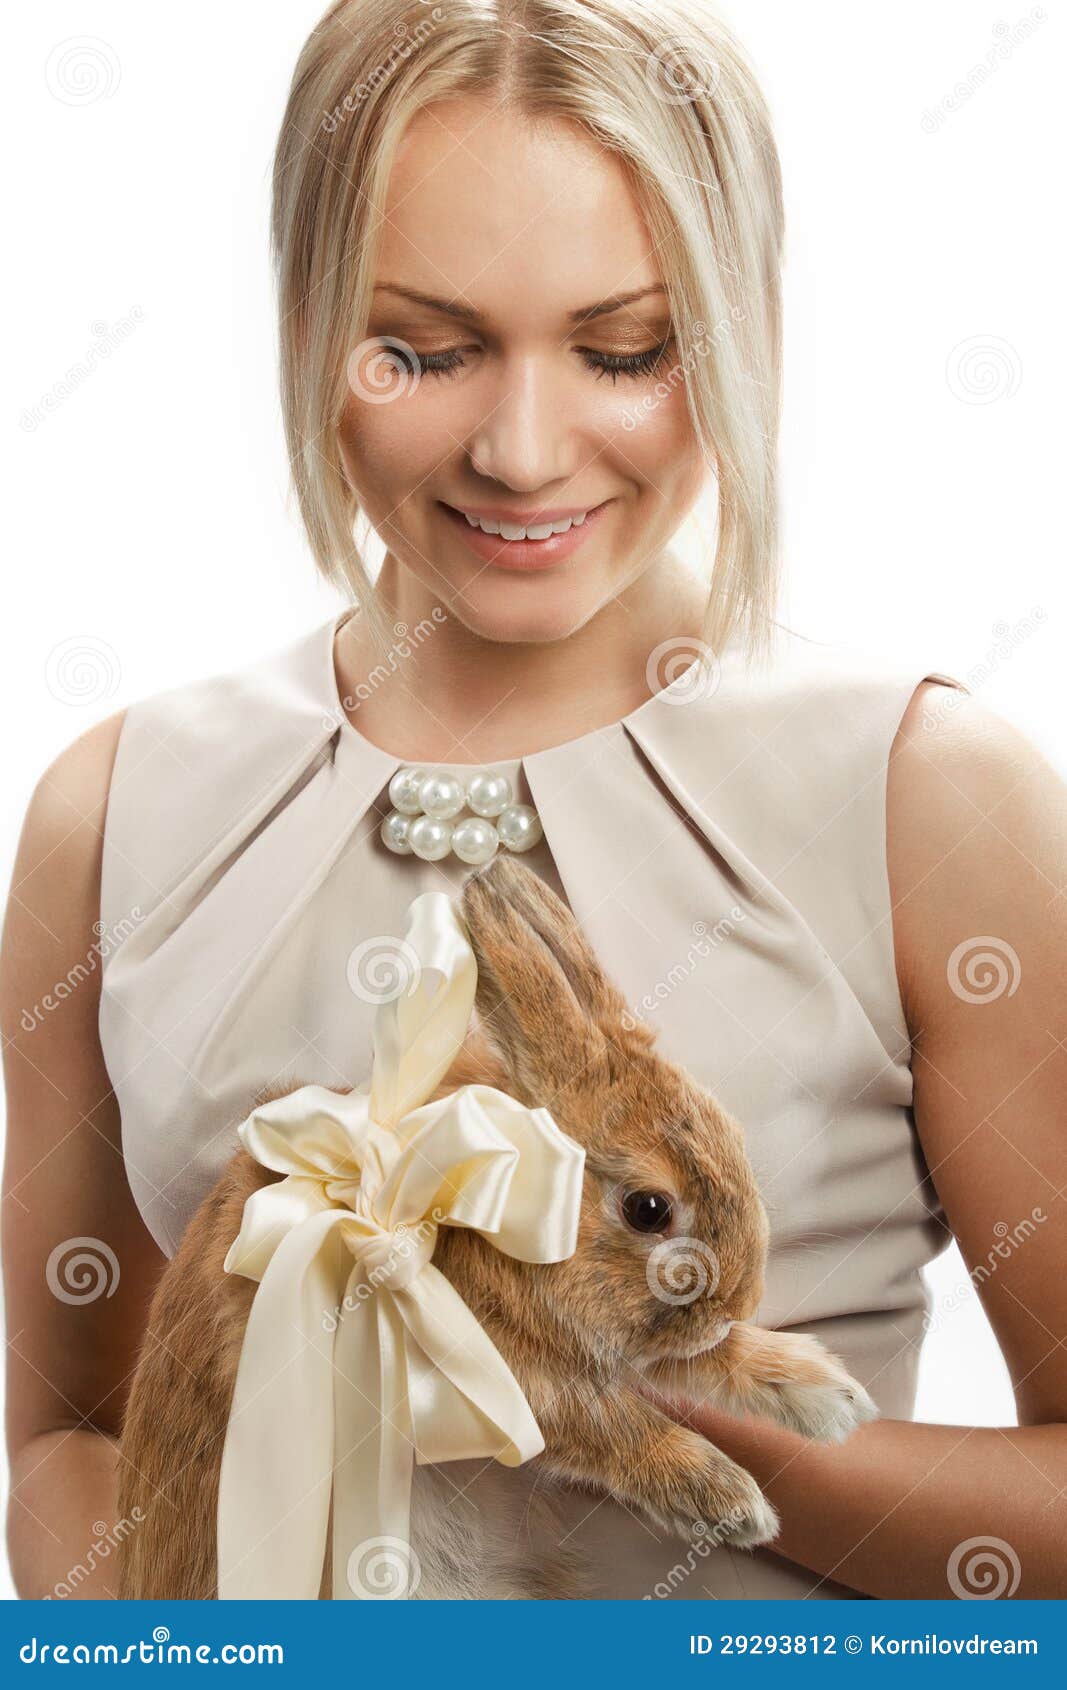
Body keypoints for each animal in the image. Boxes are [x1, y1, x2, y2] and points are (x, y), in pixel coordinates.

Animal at [116, 853, 878, 1600]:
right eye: (648, 1209)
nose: (736, 1304)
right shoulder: (499, 1384)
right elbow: (613, 1424)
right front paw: (731, 1502)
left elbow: (705, 1363)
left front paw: (831, 1397)